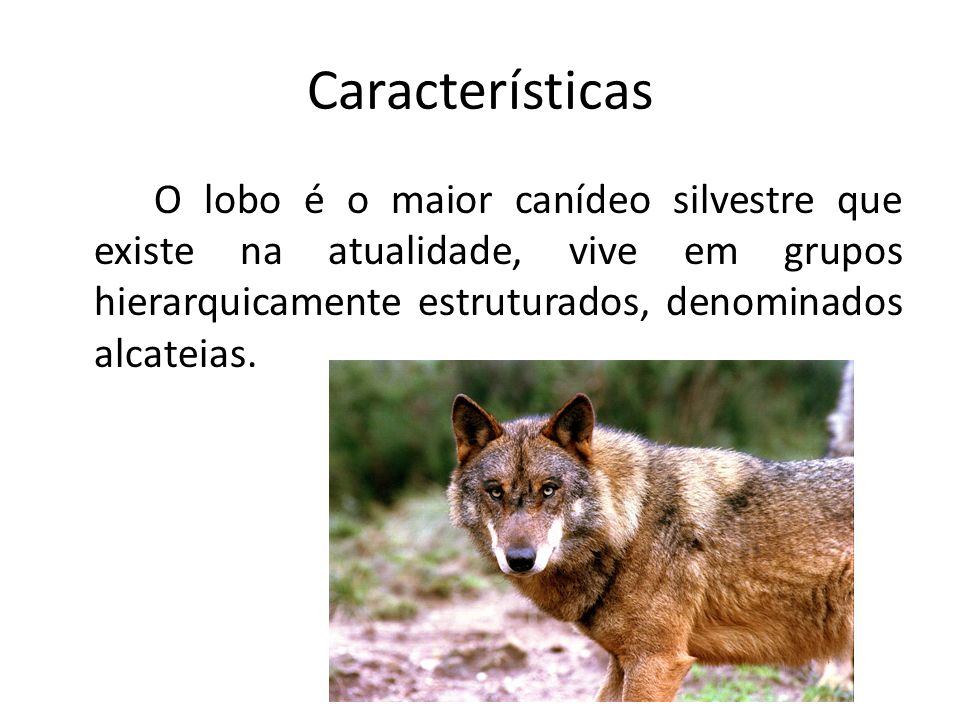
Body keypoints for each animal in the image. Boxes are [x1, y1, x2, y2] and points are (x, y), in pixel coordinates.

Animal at [447, 392, 853, 701]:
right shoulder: (622, 662)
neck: (630, 525)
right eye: (494, 491)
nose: (519, 560)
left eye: (549, 489)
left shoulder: (658, 662)